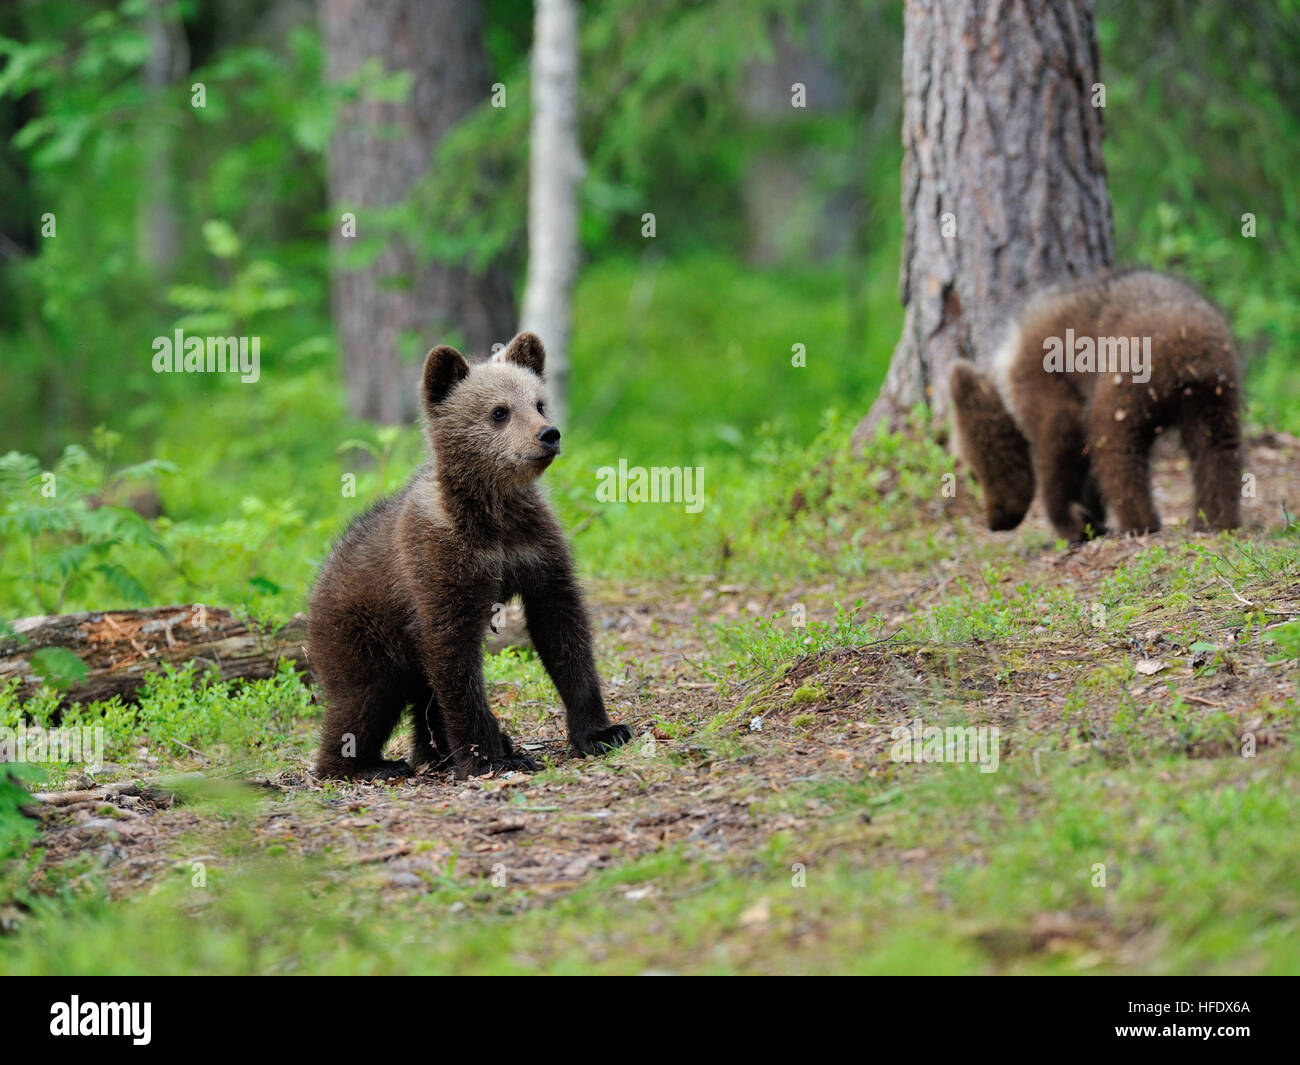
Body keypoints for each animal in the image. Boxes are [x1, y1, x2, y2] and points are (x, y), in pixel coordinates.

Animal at [309, 331, 632, 780]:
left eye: (538, 403)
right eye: (499, 411)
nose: (548, 434)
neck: (493, 513)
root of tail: (317, 582)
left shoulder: (535, 548)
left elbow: (562, 629)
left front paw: (602, 732)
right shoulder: (440, 560)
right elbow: (456, 657)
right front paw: (490, 757)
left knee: (420, 696)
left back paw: (435, 753)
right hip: (359, 630)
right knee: (365, 698)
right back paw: (368, 765)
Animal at [948, 268, 1242, 543]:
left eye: (974, 473)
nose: (995, 523)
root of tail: (1184, 344)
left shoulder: (1047, 385)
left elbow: (1059, 443)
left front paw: (1072, 524)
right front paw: (1091, 520)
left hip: (1124, 376)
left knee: (1115, 447)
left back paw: (1139, 522)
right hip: (1213, 394)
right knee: (1218, 449)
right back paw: (1216, 521)